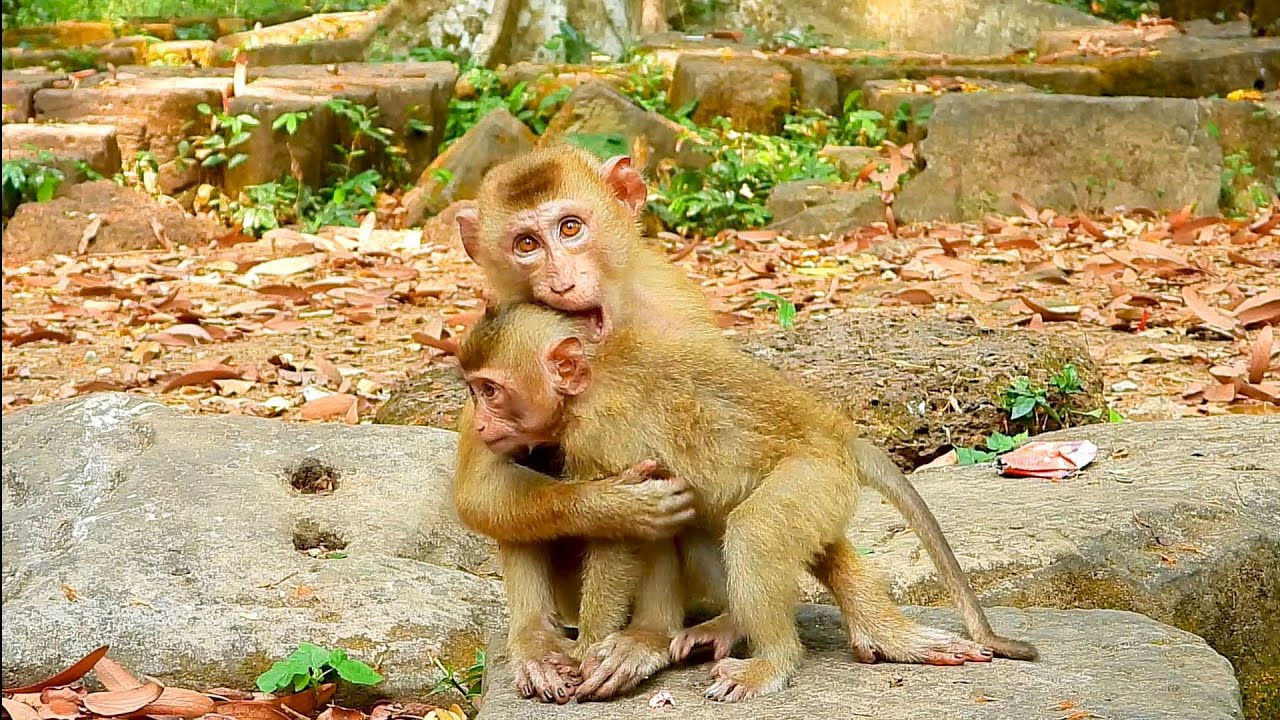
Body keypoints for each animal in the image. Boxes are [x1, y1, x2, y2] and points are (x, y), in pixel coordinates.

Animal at [457, 302, 1039, 703]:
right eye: (474, 391)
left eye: (490, 390)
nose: (481, 424)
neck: (584, 387)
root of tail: (837, 433)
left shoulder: (601, 434)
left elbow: (619, 539)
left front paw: (587, 651)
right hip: (822, 484)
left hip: (813, 474)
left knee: (756, 530)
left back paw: (771, 661)